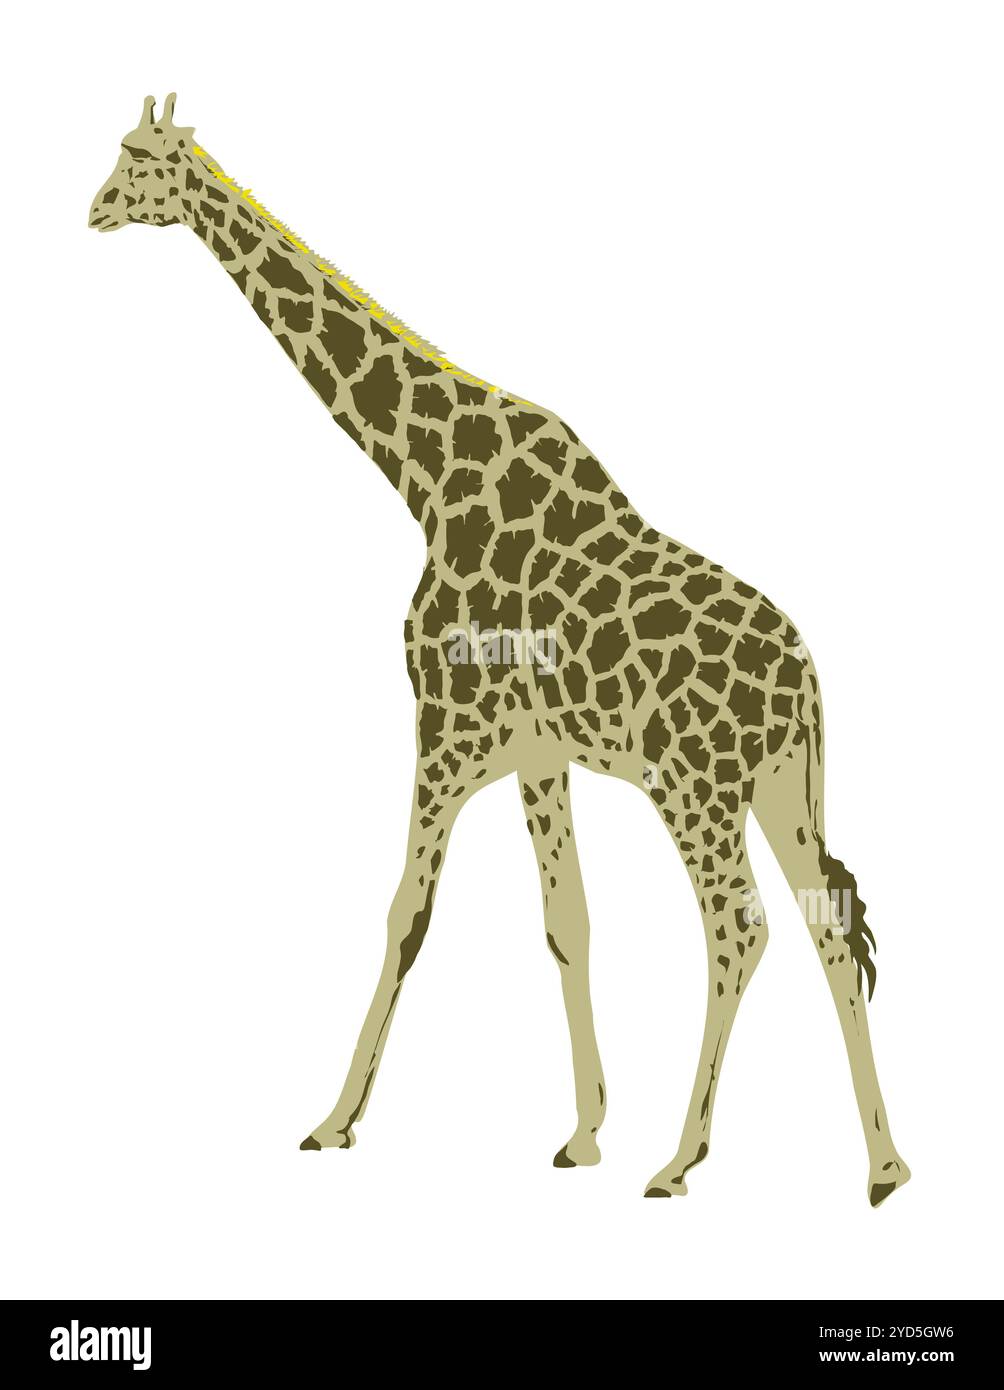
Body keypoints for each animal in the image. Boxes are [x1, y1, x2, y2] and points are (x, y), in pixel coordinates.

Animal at [89, 96, 910, 1205]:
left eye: (140, 160)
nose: (94, 209)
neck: (422, 476)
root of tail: (804, 680)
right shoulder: (536, 751)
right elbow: (569, 923)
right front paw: (583, 1132)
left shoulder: (445, 723)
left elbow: (406, 913)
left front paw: (334, 1120)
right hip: (782, 781)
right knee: (826, 919)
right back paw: (883, 1164)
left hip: (695, 785)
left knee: (739, 929)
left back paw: (681, 1159)